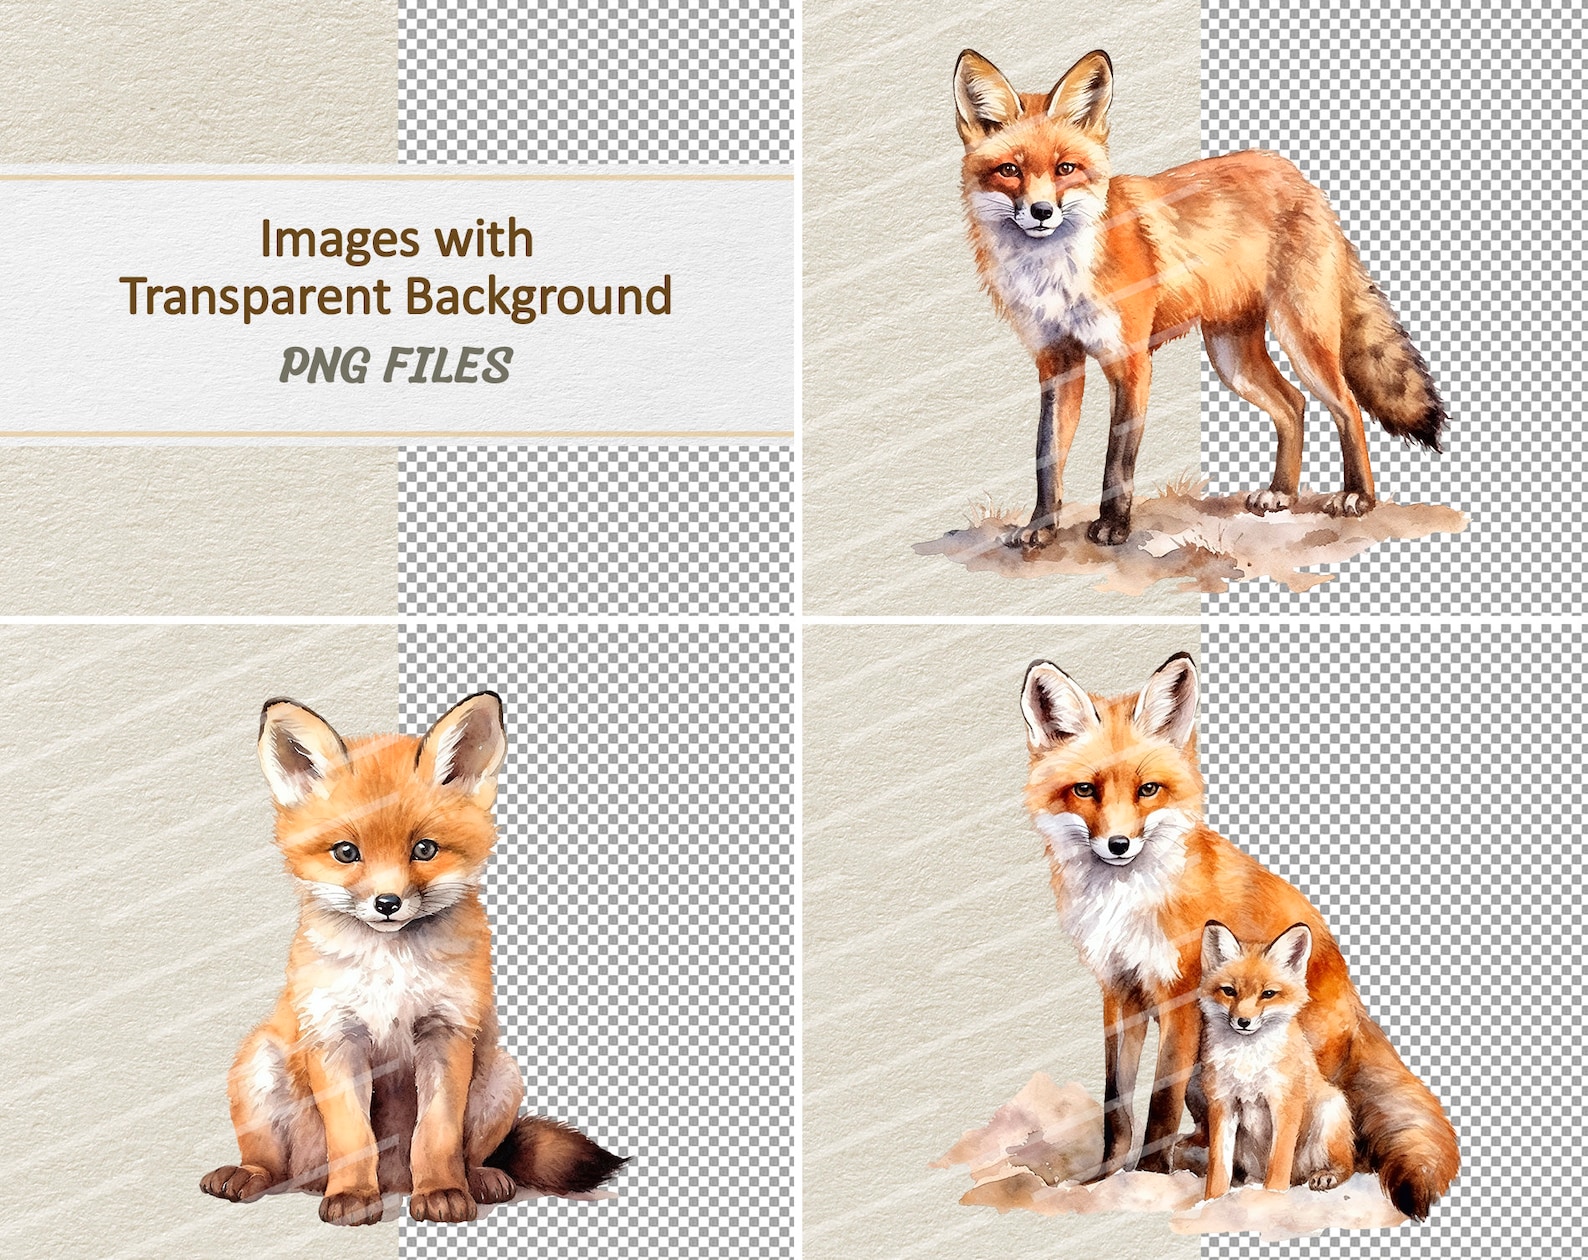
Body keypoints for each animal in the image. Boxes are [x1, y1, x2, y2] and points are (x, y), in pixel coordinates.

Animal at [200, 693, 625, 1226]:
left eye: (424, 849)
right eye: (346, 852)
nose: (387, 903)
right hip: (258, 1062)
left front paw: (441, 1191)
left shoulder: (445, 1032)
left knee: (472, 1152)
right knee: (274, 1164)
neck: (391, 969)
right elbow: (353, 1136)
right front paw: (353, 1196)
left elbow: (437, 1134)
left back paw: (479, 1179)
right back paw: (252, 1175)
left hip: (502, 1073)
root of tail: (395, 1181)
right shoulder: (336, 1035)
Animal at [955, 48, 1445, 549]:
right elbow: (1047, 455)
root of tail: (1301, 178)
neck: (1057, 274)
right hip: (1233, 358)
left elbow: (1118, 459)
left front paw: (1113, 525)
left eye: (1065, 169)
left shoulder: (1131, 361)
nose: (1041, 212)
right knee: (1293, 405)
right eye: (1010, 171)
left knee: (1347, 406)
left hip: (1302, 339)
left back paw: (1357, 496)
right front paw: (1041, 526)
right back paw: (1281, 492)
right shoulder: (1058, 361)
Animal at [1197, 921, 1356, 1198]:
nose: (1243, 1022)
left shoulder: (1285, 1102)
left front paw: (1272, 1200)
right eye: (1229, 991)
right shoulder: (1222, 1102)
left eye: (1268, 993)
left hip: (1330, 1108)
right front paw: (1211, 1202)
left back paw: (1326, 1175)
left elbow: (1279, 1166)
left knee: (1346, 1165)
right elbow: (1217, 1170)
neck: (1248, 1062)